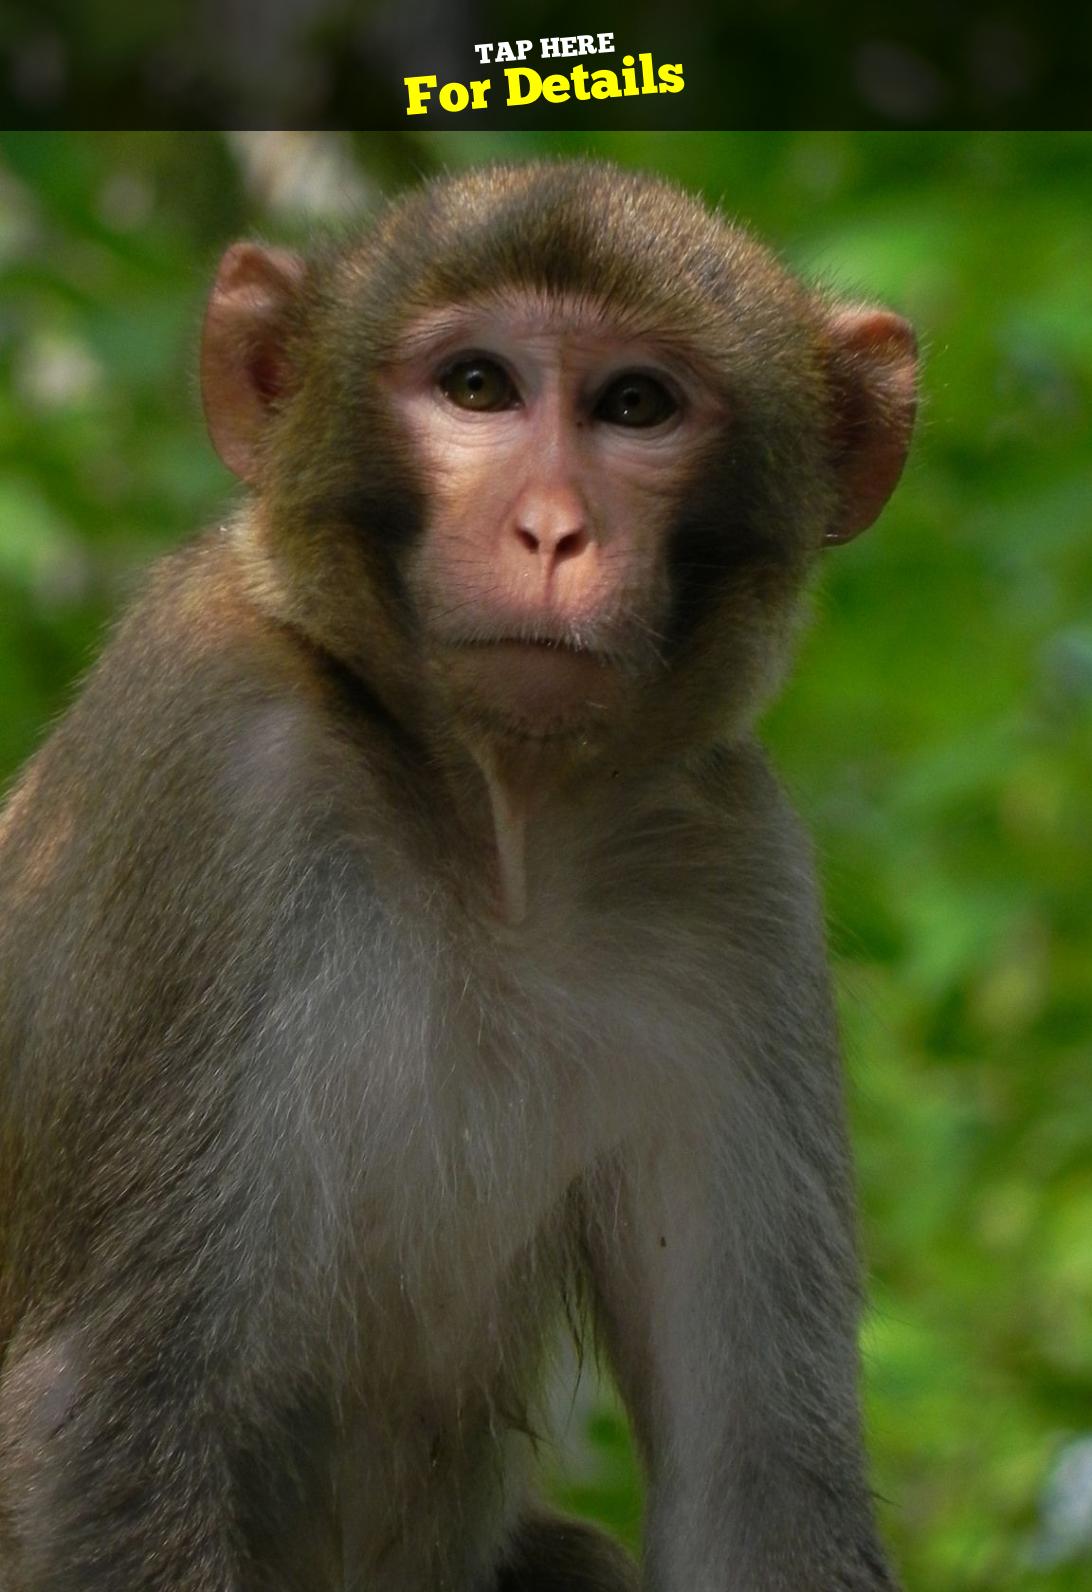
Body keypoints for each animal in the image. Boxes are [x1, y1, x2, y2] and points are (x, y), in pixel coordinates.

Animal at [0, 164, 916, 1592]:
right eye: (478, 386)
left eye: (636, 405)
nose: (552, 530)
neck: (498, 838)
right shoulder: (214, 760)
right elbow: (106, 1415)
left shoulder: (735, 864)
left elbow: (760, 1479)